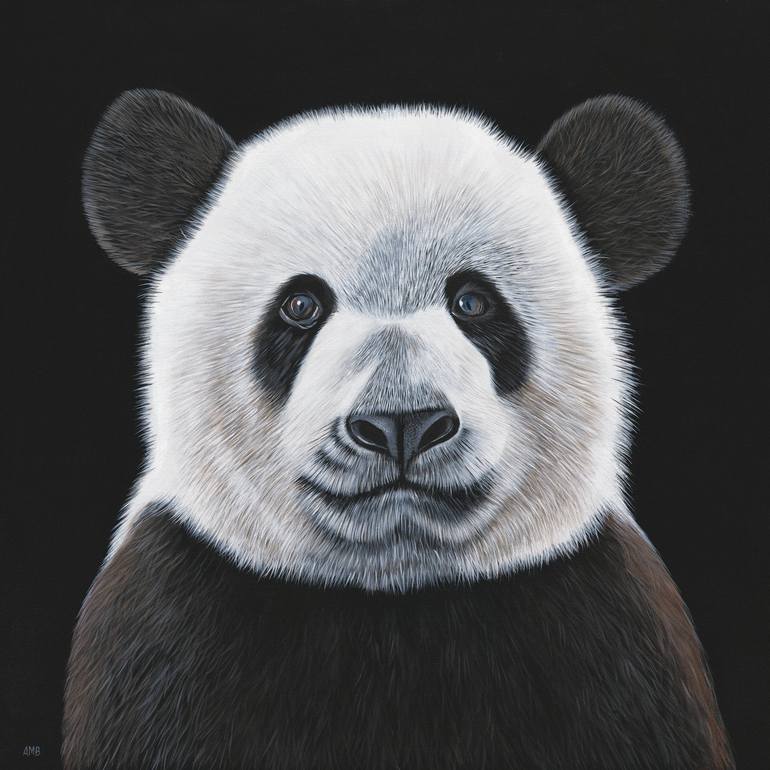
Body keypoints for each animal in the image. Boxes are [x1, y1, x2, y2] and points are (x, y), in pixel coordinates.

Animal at [63, 89, 733, 770]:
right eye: (301, 306)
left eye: (473, 302)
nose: (402, 424)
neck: (392, 587)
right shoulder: (163, 633)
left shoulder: (614, 638)